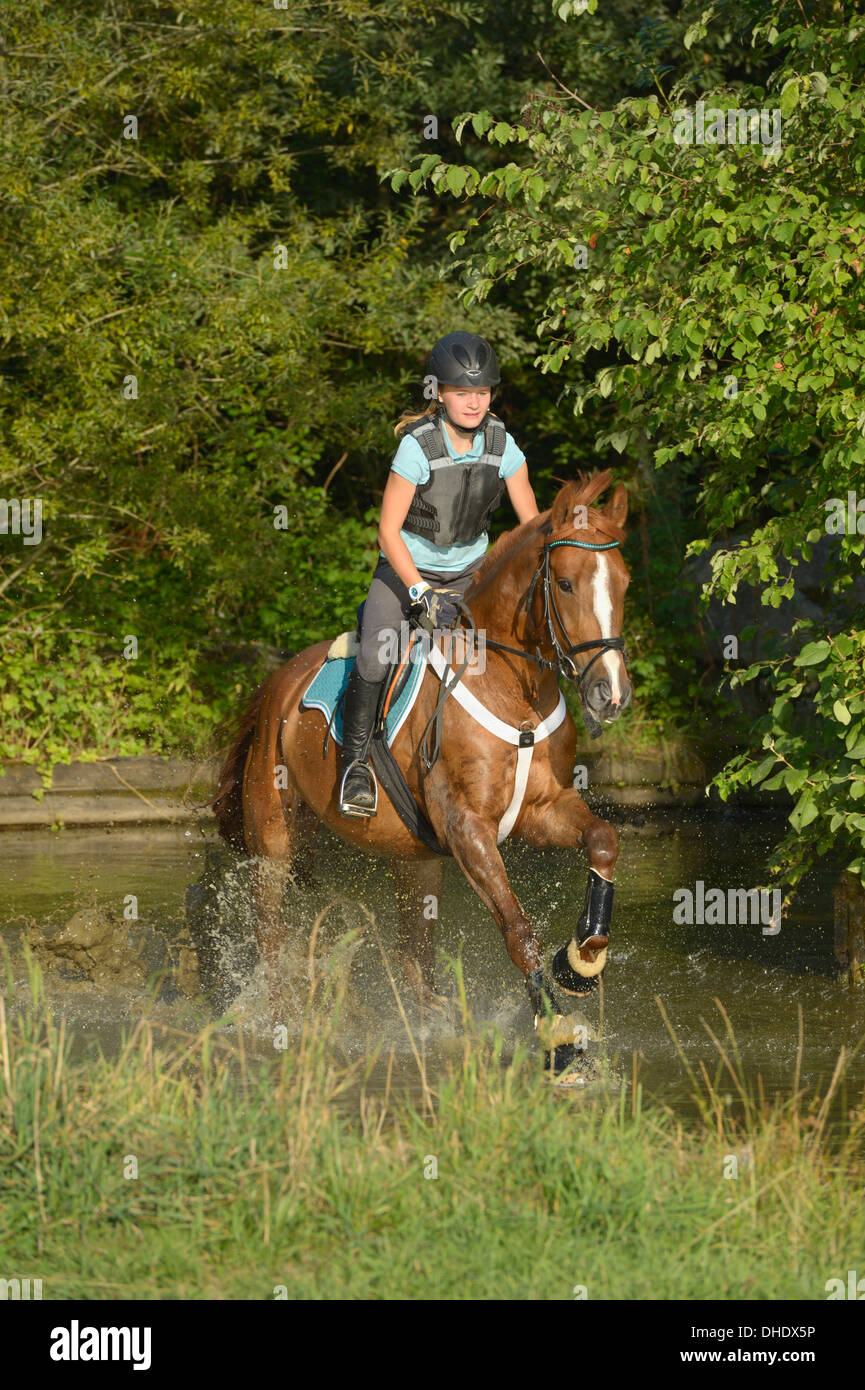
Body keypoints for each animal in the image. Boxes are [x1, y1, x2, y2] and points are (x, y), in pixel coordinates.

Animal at [211, 469, 632, 1080]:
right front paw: (559, 1039)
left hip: (416, 861)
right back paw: (283, 1021)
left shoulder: (540, 809)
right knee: (270, 936)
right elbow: (517, 928)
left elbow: (603, 839)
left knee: (415, 964)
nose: (611, 694)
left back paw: (439, 1024)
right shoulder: (468, 826)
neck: (511, 685)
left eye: (623, 584)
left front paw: (579, 964)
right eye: (567, 584)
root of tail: (278, 683)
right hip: (273, 840)